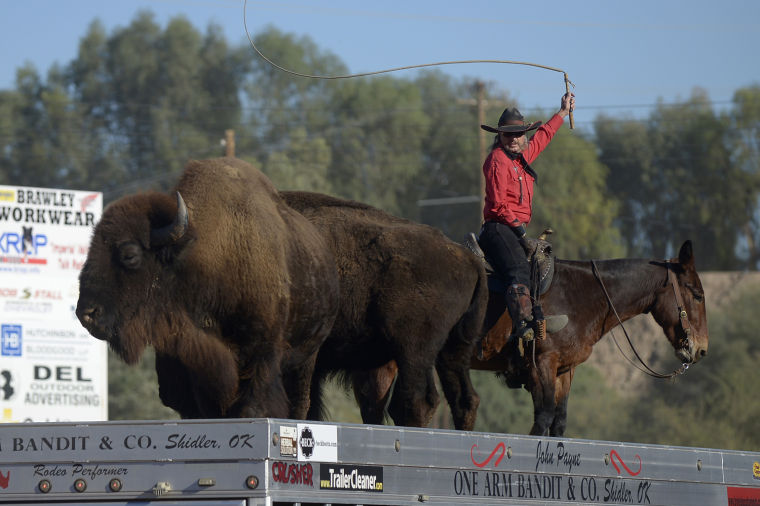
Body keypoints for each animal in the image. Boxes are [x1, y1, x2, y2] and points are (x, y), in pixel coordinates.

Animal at [76, 158, 339, 419]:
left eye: (129, 255)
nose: (86, 314)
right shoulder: (200, 363)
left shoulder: (263, 352)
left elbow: (253, 405)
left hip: (305, 358)